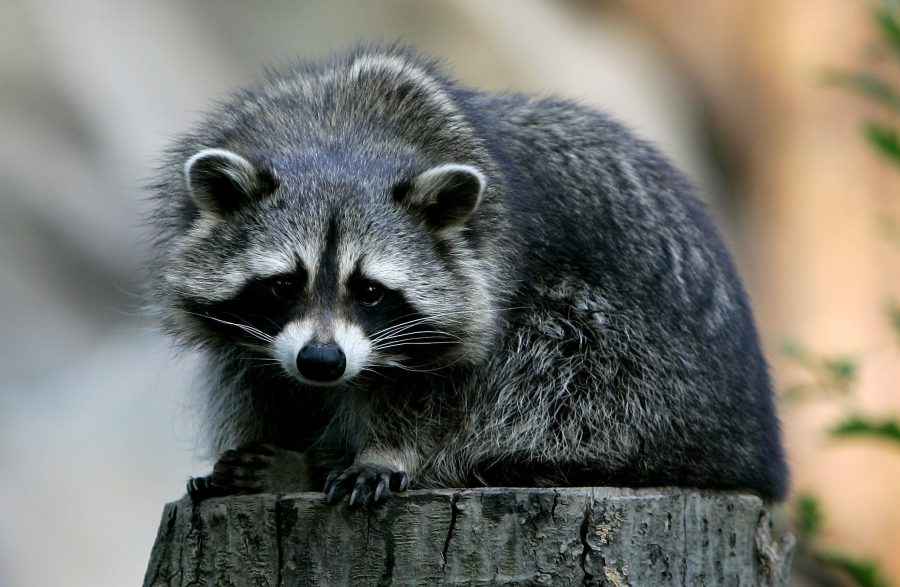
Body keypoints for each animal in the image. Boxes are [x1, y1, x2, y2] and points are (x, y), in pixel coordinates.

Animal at [148, 46, 788, 506]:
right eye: (284, 283)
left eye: (370, 291)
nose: (323, 363)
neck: (339, 135)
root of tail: (755, 454)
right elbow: (251, 374)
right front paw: (266, 434)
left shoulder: (488, 270)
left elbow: (449, 384)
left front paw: (383, 452)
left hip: (645, 385)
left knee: (551, 356)